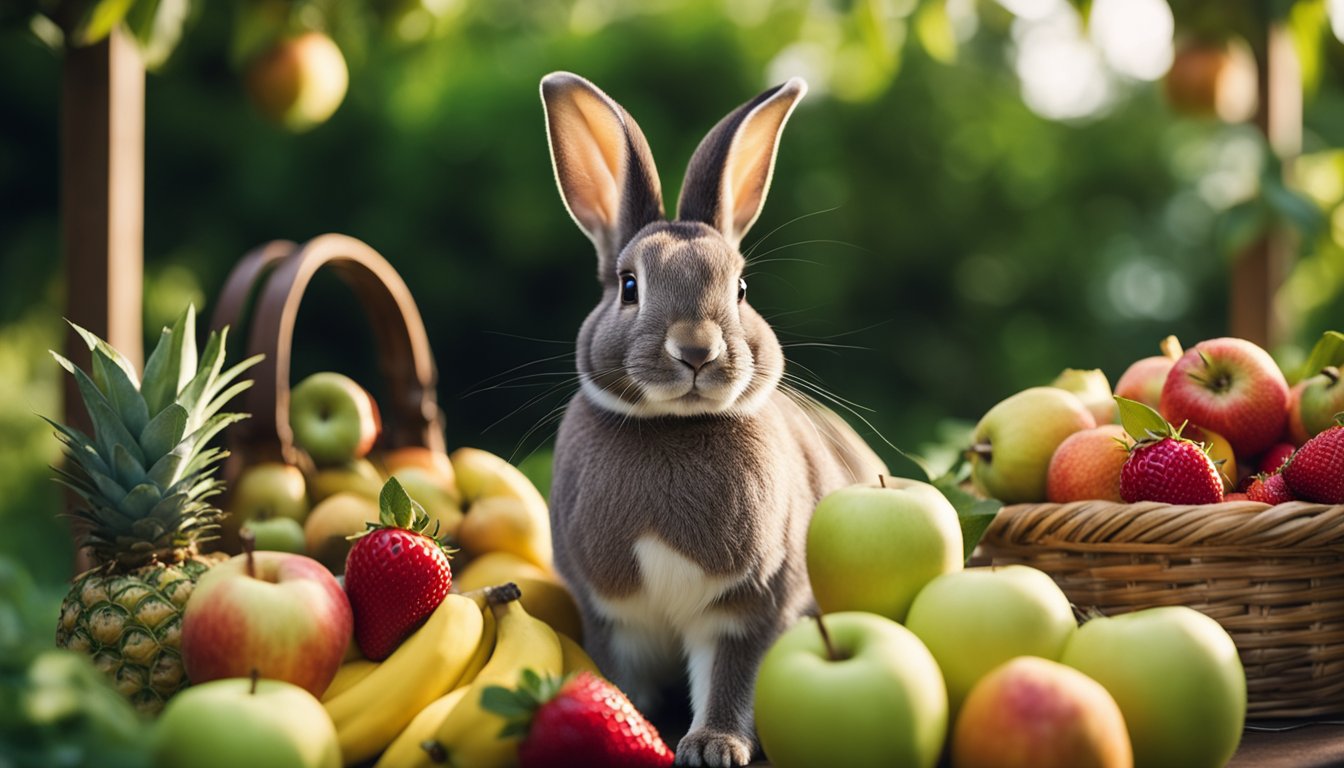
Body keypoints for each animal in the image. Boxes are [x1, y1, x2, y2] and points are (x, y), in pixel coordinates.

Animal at [540, 71, 888, 767]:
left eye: (742, 290)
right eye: (628, 286)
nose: (697, 350)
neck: (674, 425)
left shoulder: (752, 607)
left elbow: (734, 675)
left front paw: (713, 747)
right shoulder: (612, 615)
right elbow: (621, 674)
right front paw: (632, 722)